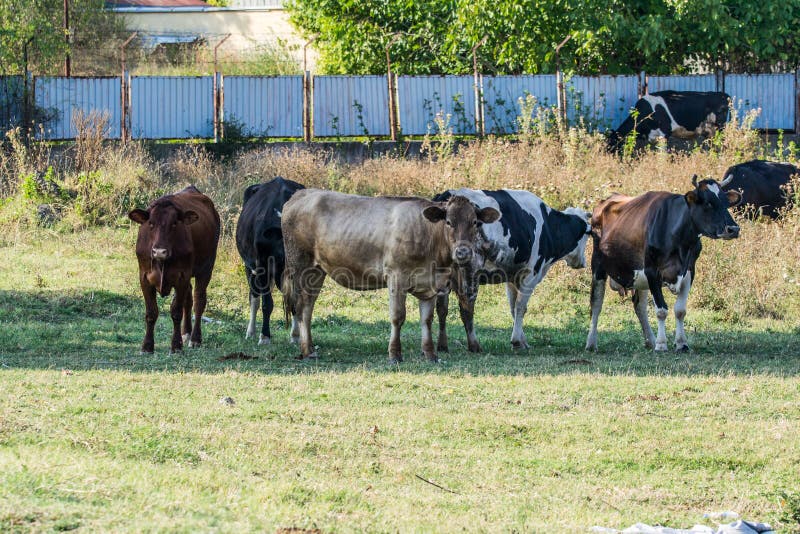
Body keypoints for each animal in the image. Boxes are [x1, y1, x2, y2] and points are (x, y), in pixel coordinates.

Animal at [128, 185, 220, 354]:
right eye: (151, 223)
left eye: (174, 224)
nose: (159, 251)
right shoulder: (144, 277)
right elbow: (151, 312)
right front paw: (147, 346)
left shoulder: (181, 276)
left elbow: (176, 311)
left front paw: (176, 345)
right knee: (188, 300)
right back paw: (186, 333)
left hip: (206, 267)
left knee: (198, 301)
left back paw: (195, 338)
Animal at [235, 177, 304, 345]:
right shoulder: (262, 266)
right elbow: (267, 304)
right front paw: (265, 336)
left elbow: (296, 302)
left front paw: (295, 336)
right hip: (250, 267)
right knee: (254, 297)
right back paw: (251, 332)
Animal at [281, 189, 500, 363]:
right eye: (448, 222)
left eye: (475, 222)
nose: (463, 252)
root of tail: (300, 194)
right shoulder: (396, 276)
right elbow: (397, 316)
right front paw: (394, 354)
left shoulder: (430, 285)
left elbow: (427, 320)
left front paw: (430, 354)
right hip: (301, 265)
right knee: (301, 307)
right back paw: (306, 350)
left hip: (317, 271)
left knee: (308, 307)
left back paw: (310, 348)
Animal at [432, 189, 591, 352]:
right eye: (588, 233)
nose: (583, 262)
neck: (547, 226)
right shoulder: (531, 274)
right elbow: (520, 307)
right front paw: (517, 341)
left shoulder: (512, 277)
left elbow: (513, 307)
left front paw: (522, 340)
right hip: (469, 272)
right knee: (466, 308)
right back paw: (474, 345)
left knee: (442, 308)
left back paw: (442, 345)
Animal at [585, 175, 741, 352]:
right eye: (708, 203)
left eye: (726, 203)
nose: (733, 229)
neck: (680, 241)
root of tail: (607, 200)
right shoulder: (652, 270)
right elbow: (661, 310)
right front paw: (661, 344)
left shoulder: (689, 271)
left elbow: (680, 310)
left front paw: (681, 343)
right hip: (598, 265)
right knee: (596, 303)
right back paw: (591, 343)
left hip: (638, 276)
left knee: (639, 306)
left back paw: (650, 340)